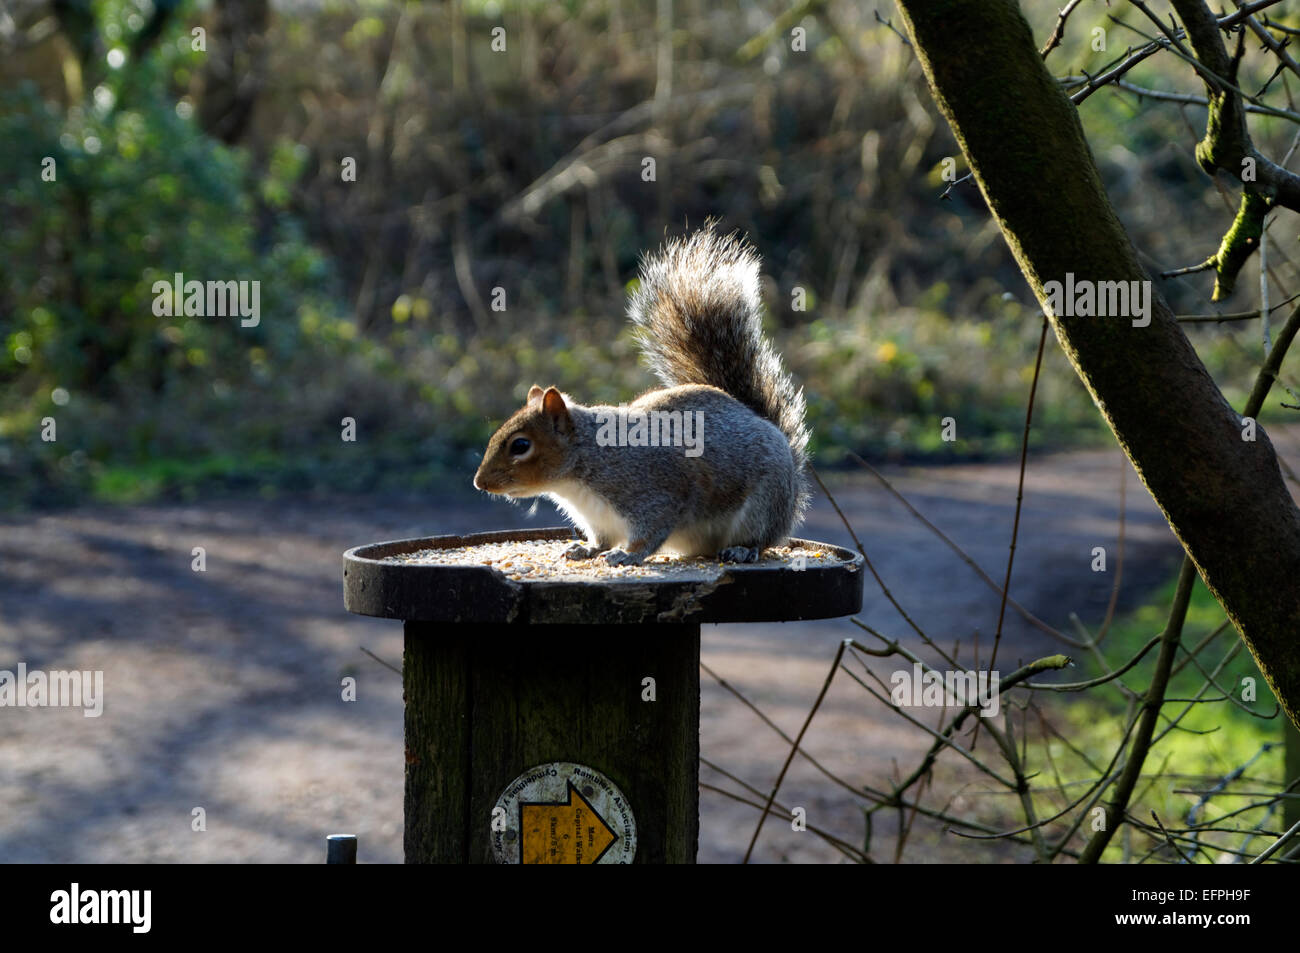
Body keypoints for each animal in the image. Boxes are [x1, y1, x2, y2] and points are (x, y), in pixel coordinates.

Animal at [472, 225, 810, 566]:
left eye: (521, 445)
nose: (479, 483)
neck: (584, 465)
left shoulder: (658, 492)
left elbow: (650, 533)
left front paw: (628, 555)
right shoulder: (598, 520)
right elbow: (601, 540)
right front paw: (586, 549)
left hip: (764, 503)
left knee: (761, 538)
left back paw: (742, 548)